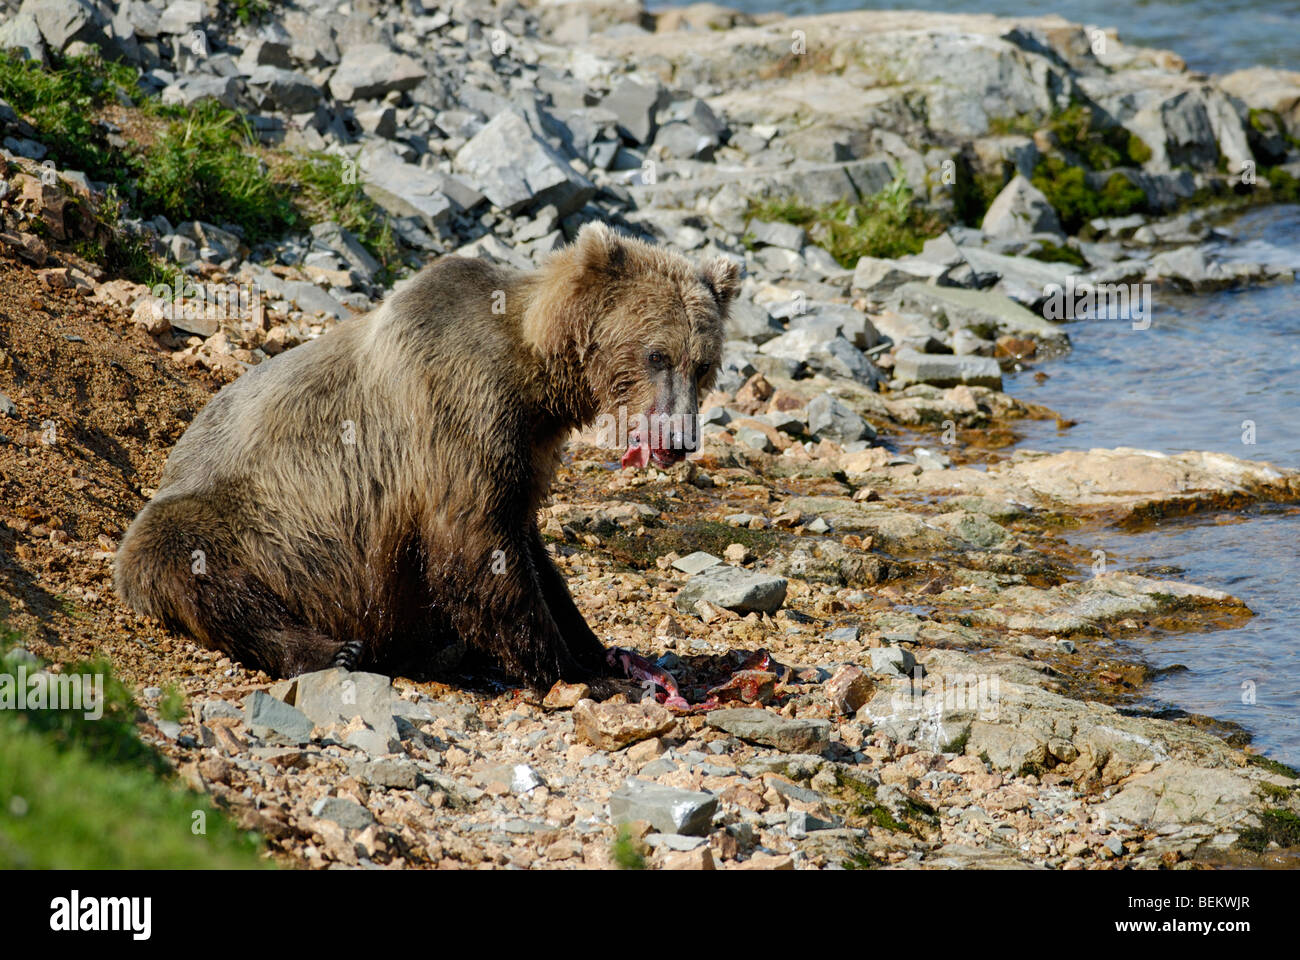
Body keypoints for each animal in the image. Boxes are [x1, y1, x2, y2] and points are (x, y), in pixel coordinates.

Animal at [113, 222, 740, 690]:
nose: (679, 439)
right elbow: (475, 539)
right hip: (236, 523)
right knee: (196, 568)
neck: (538, 375)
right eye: (657, 354)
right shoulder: (458, 408)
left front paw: (595, 647)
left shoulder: (529, 443)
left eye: (704, 364)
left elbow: (528, 542)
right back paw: (333, 651)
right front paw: (564, 665)